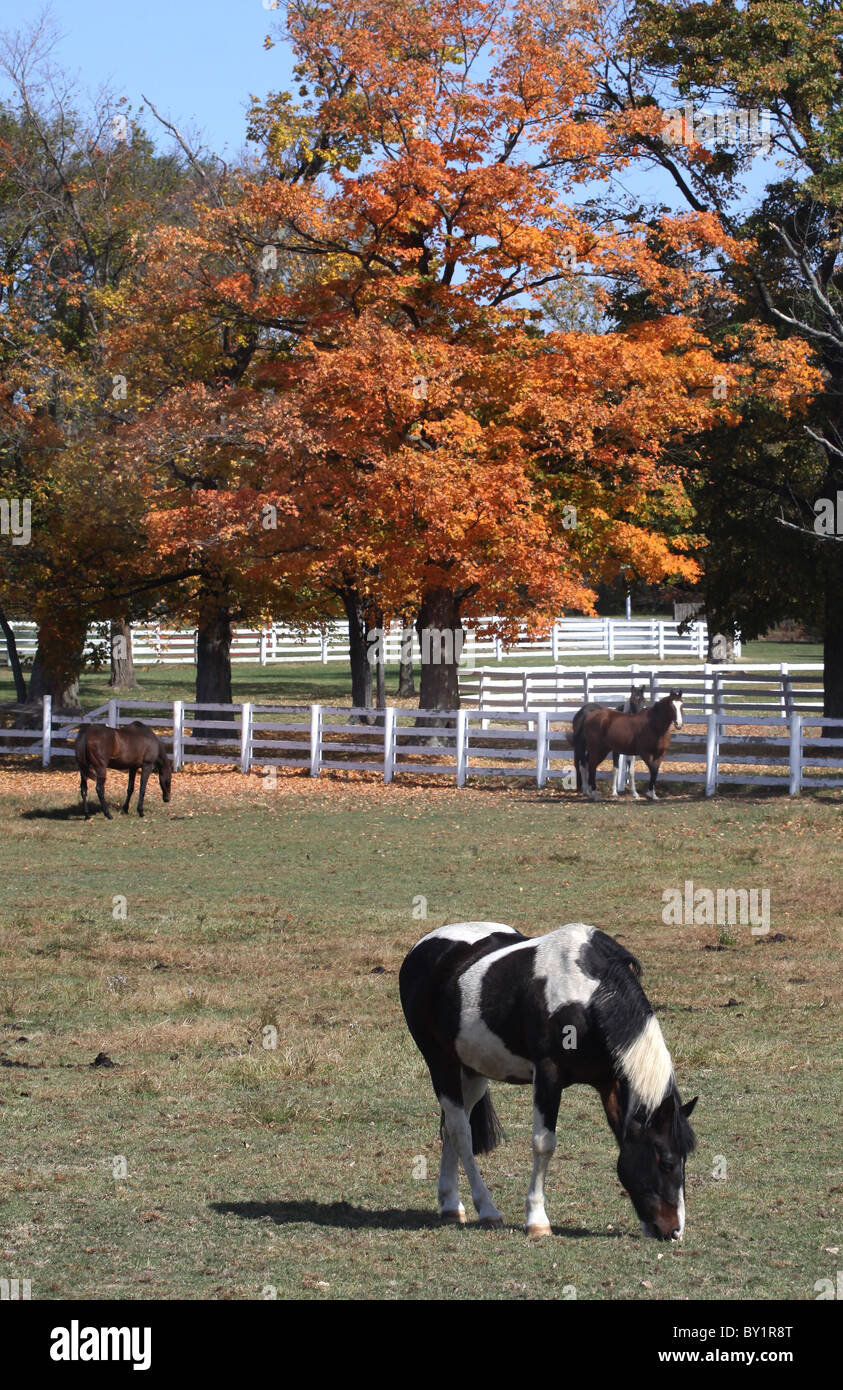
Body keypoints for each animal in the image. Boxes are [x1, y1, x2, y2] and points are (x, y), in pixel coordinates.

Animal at [399, 921, 697, 1239]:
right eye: (666, 1163)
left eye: (684, 1160)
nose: (675, 1231)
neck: (587, 997)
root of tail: (422, 947)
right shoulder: (547, 1076)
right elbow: (544, 1145)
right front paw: (537, 1220)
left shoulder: (609, 1085)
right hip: (441, 1064)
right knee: (460, 1132)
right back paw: (487, 1208)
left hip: (471, 1071)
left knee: (451, 1129)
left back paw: (451, 1204)